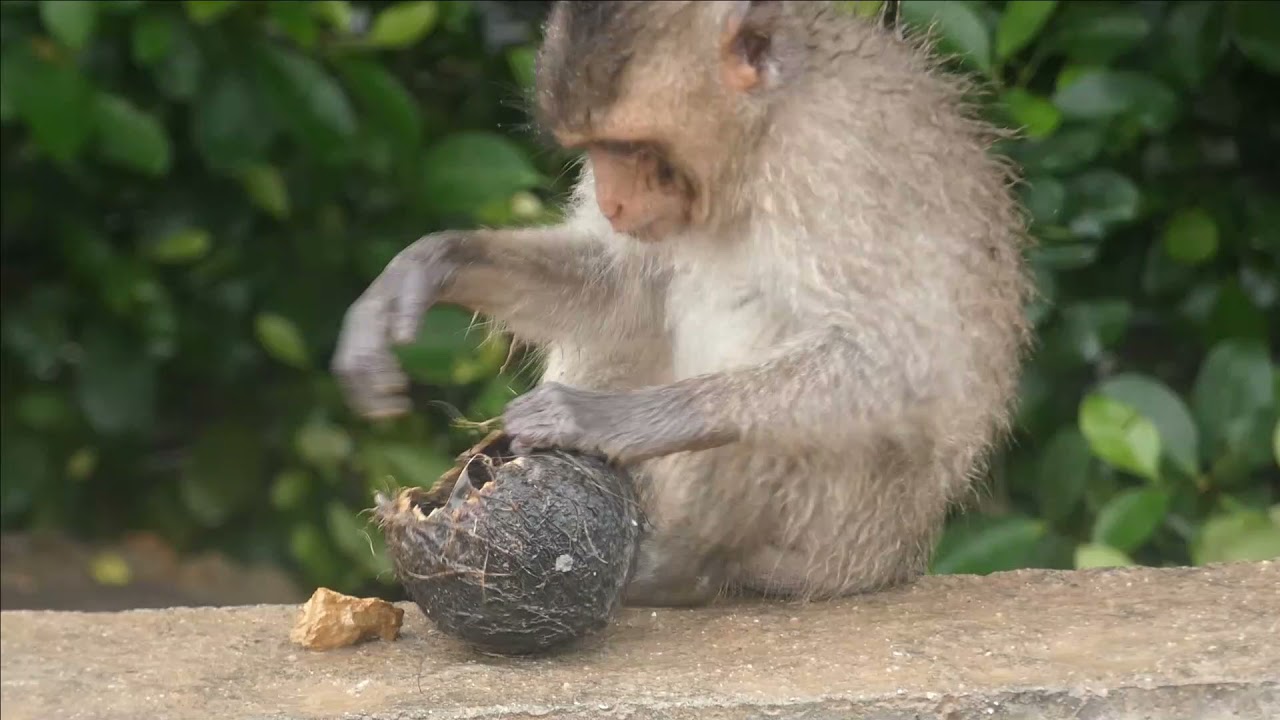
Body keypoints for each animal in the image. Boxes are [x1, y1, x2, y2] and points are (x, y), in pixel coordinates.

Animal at [332, 0, 1033, 607]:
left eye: (632, 147)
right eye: (595, 150)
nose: (613, 199)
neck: (759, 137)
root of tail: (901, 558)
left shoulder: (839, 158)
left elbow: (908, 368)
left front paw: (606, 420)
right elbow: (616, 293)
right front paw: (428, 265)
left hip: (848, 538)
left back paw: (678, 570)